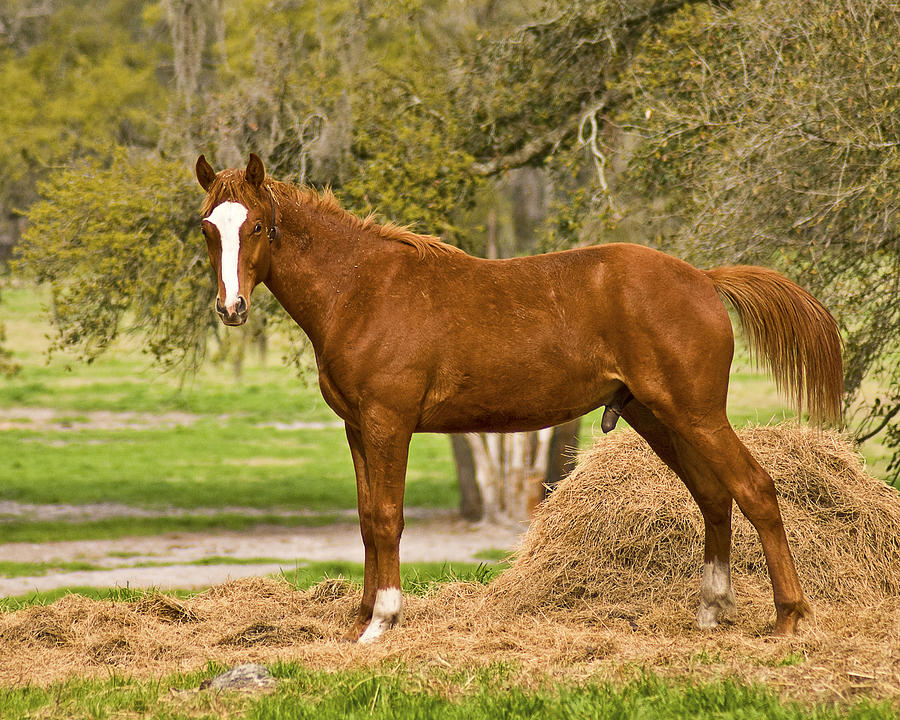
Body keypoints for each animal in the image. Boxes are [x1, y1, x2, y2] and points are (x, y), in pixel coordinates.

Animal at [195, 153, 843, 642]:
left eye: (256, 226)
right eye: (208, 227)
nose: (232, 308)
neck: (361, 289)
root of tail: (704, 280)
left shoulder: (387, 424)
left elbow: (386, 516)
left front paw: (382, 622)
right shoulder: (358, 428)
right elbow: (364, 518)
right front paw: (359, 619)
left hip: (697, 414)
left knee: (755, 489)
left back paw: (790, 617)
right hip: (660, 417)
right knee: (713, 495)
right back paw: (711, 609)